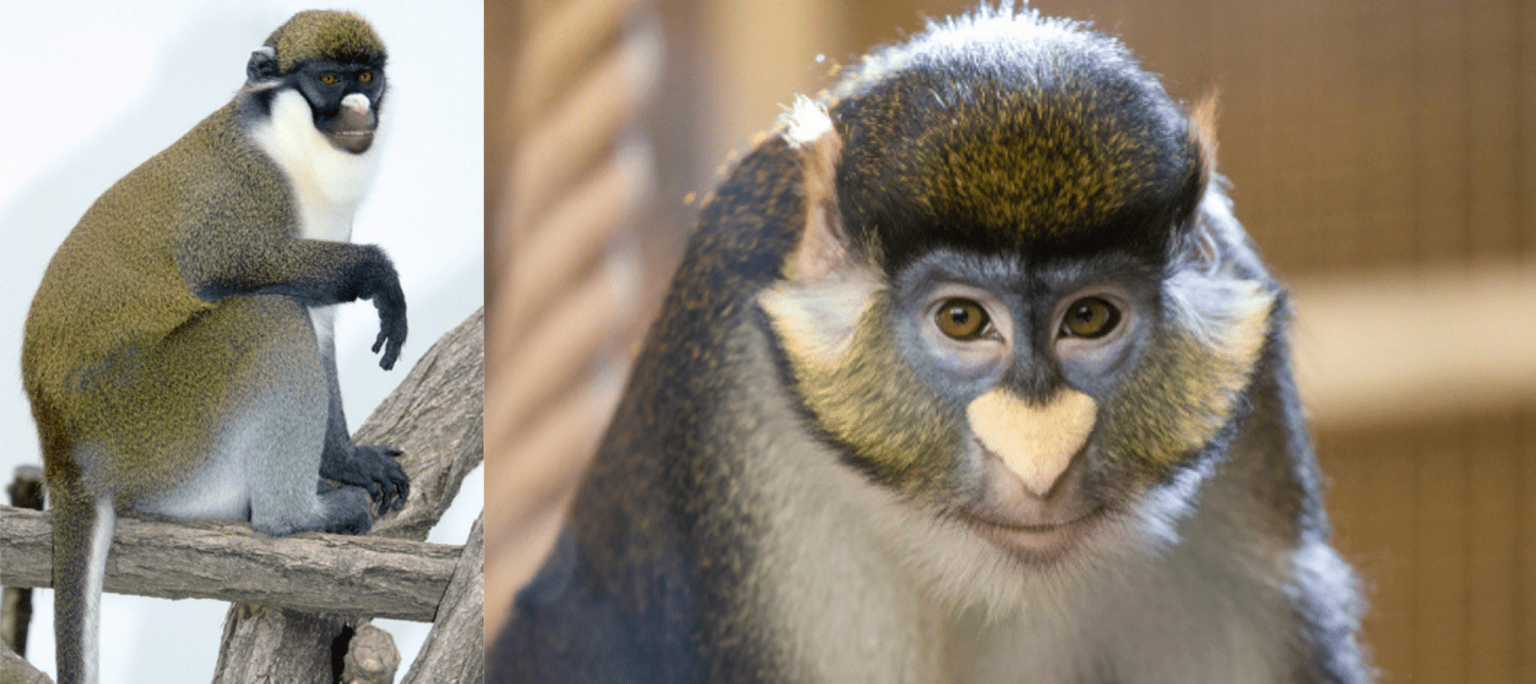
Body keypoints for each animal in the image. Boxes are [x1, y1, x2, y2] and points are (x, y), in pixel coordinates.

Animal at [21, 11, 410, 684]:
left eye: (366, 78)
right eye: (328, 80)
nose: (360, 107)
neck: (292, 146)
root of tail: (65, 459)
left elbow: (321, 329)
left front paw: (347, 460)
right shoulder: (247, 187)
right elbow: (218, 270)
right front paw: (376, 272)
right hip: (155, 426)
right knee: (268, 314)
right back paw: (294, 518)